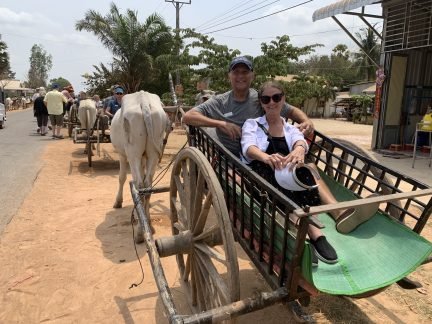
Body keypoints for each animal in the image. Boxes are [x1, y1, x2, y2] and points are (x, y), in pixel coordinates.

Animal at [110, 91, 170, 240]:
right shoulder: (144, 158)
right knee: (147, 184)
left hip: (133, 153)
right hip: (153, 152)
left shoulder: (122, 155)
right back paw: (148, 223)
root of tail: (143, 100)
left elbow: (122, 177)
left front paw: (118, 202)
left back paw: (139, 232)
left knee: (138, 185)